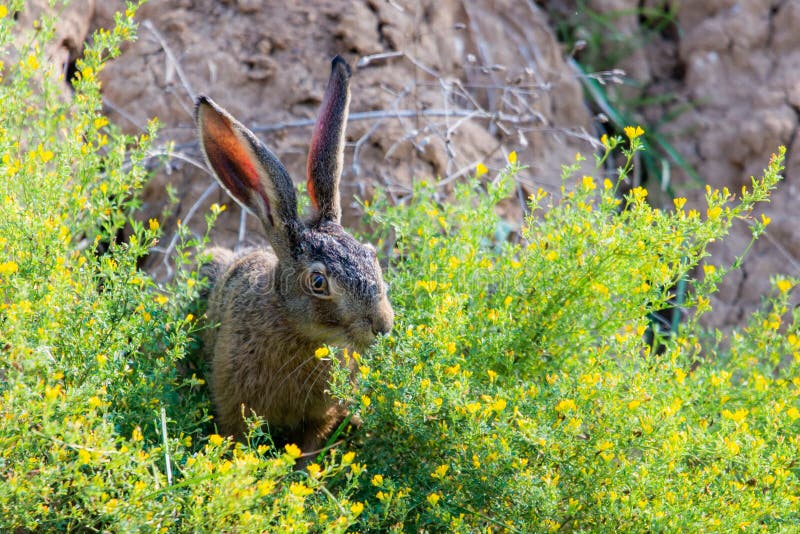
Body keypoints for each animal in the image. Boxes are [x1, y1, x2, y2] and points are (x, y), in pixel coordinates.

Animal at [195, 55, 394, 456]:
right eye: (317, 282)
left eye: (371, 255)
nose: (382, 325)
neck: (299, 331)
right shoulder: (234, 405)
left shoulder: (323, 415)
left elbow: (310, 448)